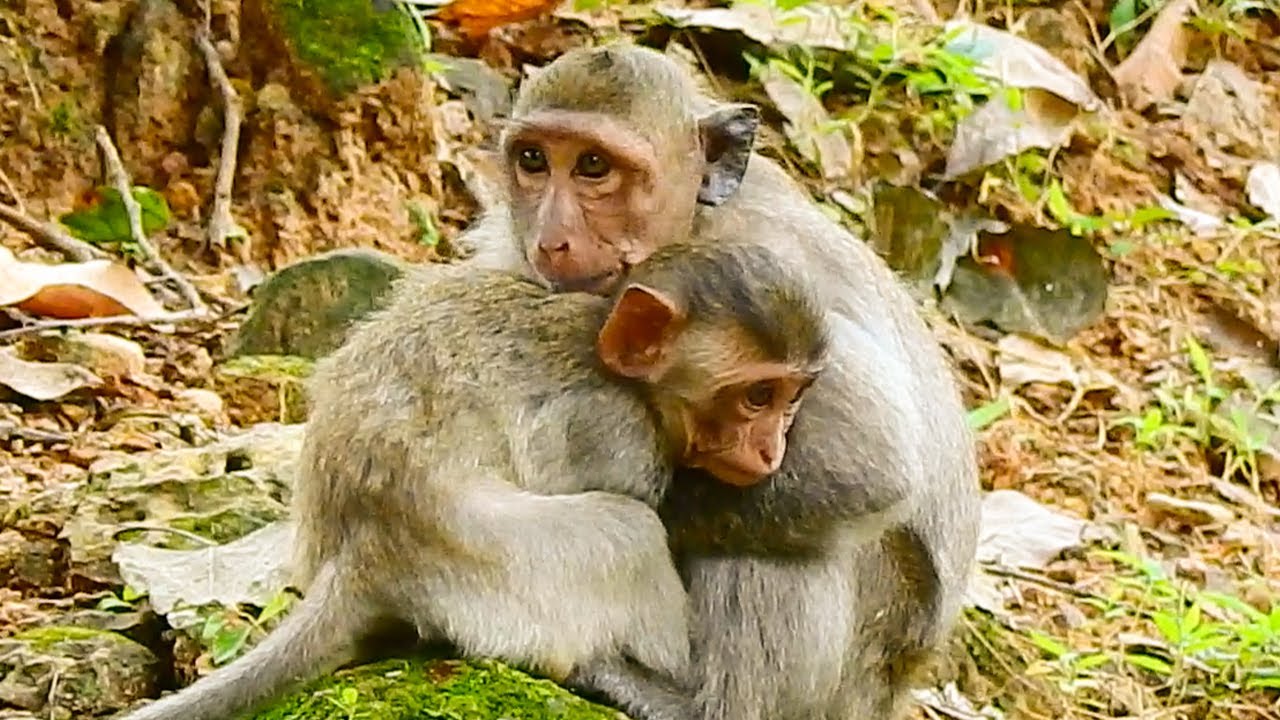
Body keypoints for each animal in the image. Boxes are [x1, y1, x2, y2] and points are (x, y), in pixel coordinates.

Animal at [117, 240, 830, 720]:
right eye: (757, 397)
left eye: (792, 396)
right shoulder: (614, 435)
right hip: (491, 563)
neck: (629, 378)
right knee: (625, 532)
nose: (771, 448)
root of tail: (358, 556)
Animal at [459, 43, 982, 720]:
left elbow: (872, 460)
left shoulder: (776, 273)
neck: (692, 228)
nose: (552, 237)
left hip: (859, 661)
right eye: (533, 160)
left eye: (594, 166)